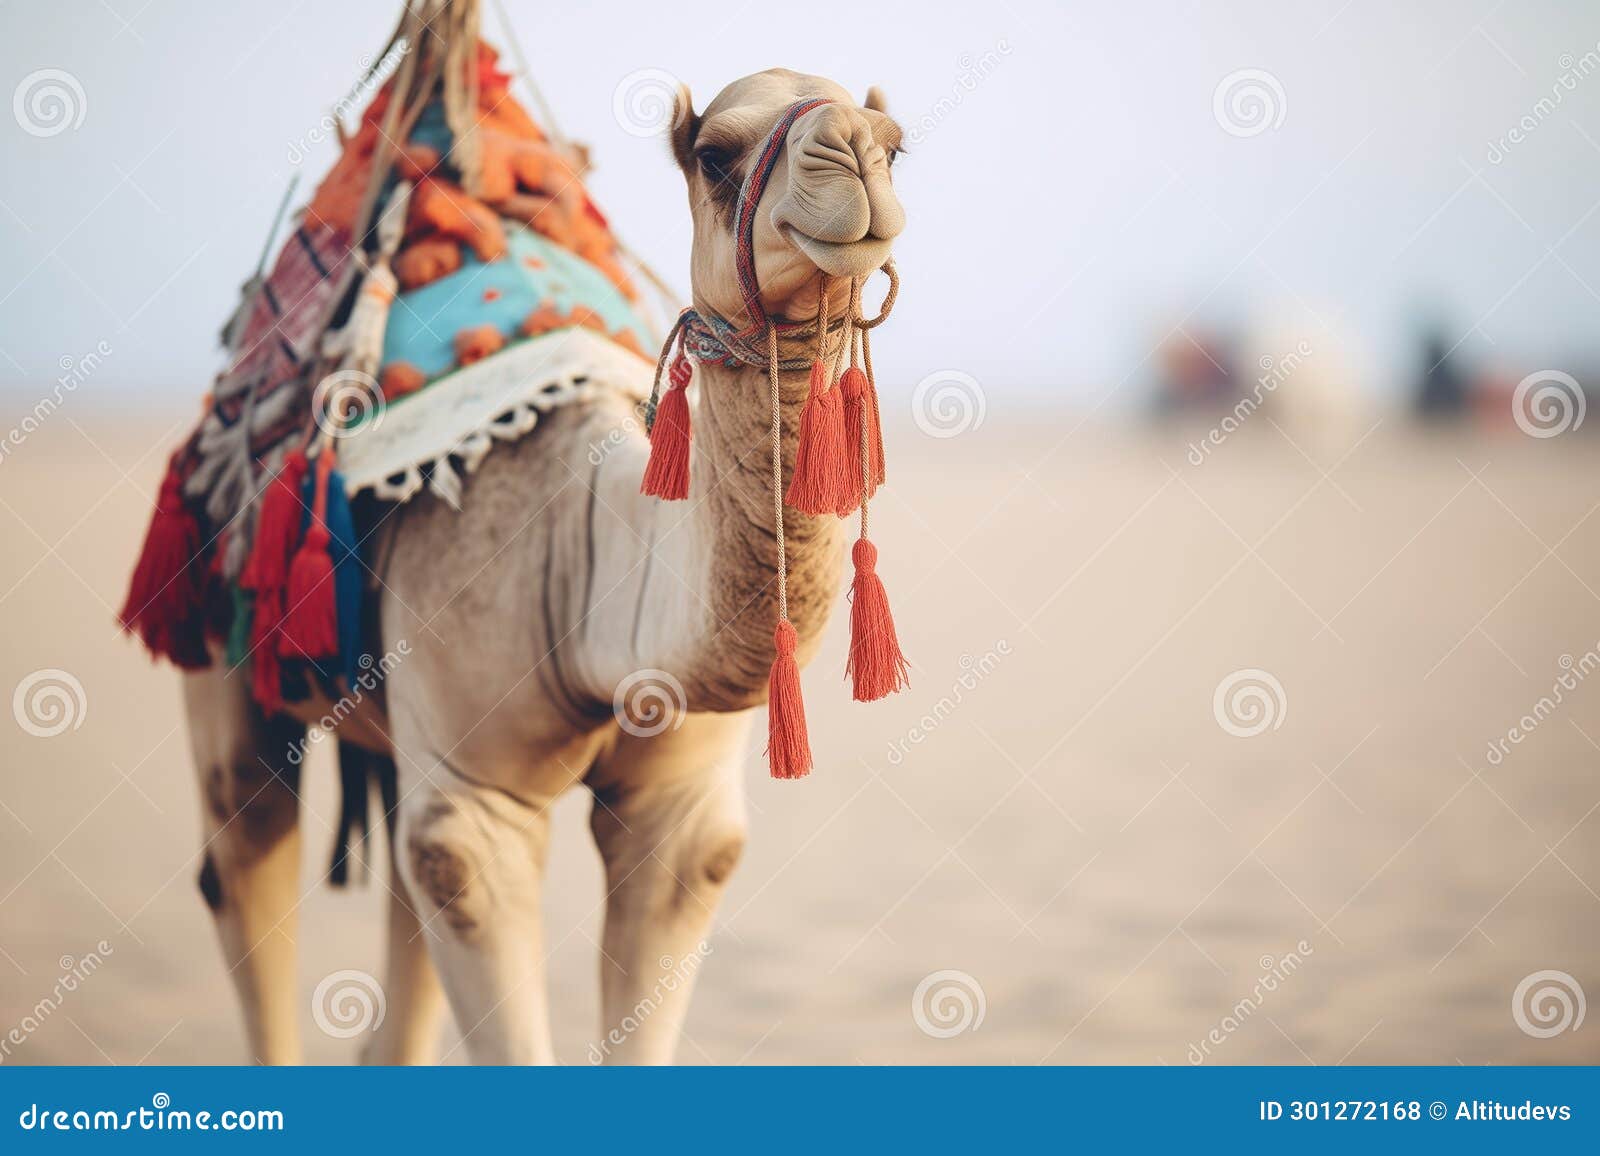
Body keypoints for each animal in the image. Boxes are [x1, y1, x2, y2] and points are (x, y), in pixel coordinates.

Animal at [179, 67, 906, 1064]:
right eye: (716, 154)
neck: (583, 556)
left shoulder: (681, 811)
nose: (854, 152)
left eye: (898, 145)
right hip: (216, 627)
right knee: (247, 841)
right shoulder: (478, 797)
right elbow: (464, 874)